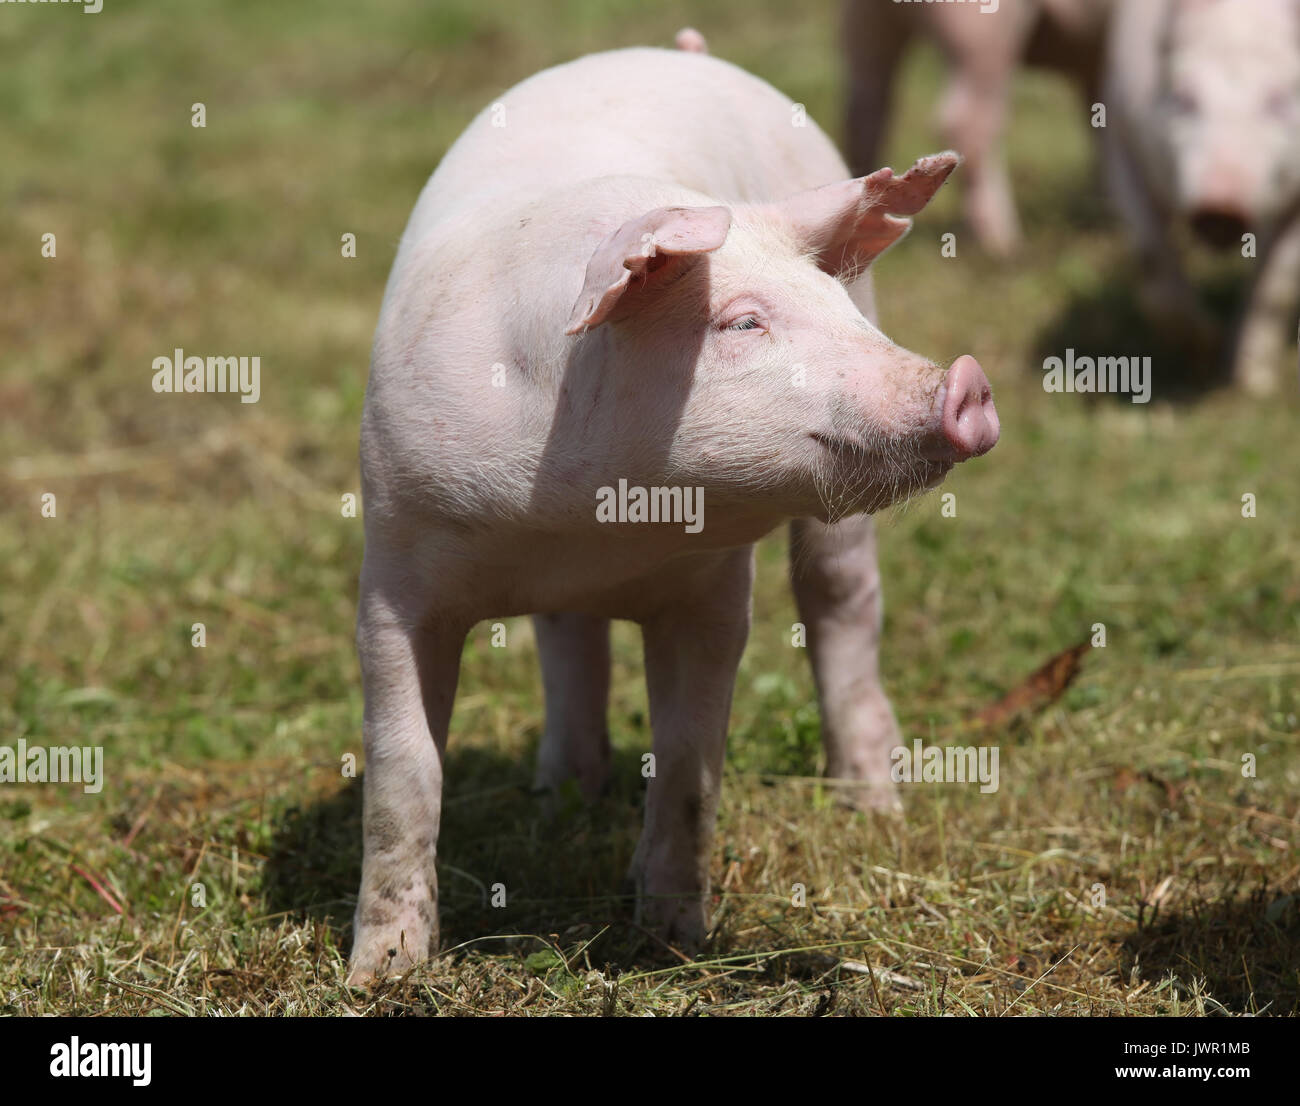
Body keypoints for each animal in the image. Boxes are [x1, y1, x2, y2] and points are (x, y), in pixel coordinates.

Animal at [348, 37, 998, 983]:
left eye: (836, 304)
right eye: (740, 323)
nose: (967, 382)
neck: (589, 522)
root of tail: (680, 51)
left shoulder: (713, 594)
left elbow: (693, 767)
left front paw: (671, 942)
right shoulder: (395, 560)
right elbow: (404, 775)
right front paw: (381, 973)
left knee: (841, 608)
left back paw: (874, 811)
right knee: (570, 639)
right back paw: (562, 796)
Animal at [844, 0, 1112, 256]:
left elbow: (1098, 126)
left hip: (867, 23)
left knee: (867, 104)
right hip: (981, 30)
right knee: (964, 120)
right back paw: (1003, 247)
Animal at [1102, 0, 1300, 395]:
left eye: (1277, 99)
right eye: (1185, 98)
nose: (1221, 207)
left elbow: (1277, 284)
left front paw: (1253, 385)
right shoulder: (1122, 142)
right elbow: (1152, 265)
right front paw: (1203, 356)